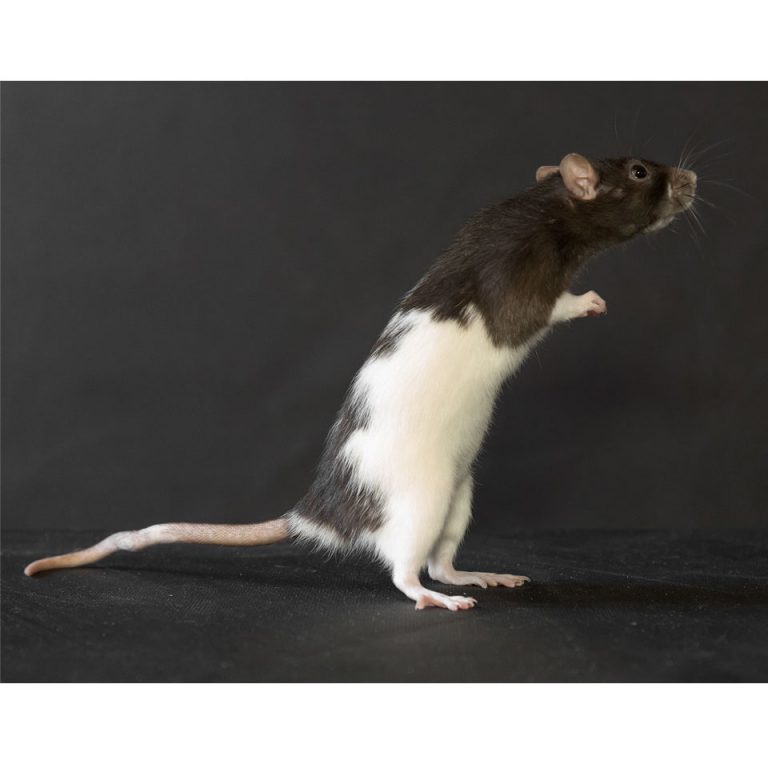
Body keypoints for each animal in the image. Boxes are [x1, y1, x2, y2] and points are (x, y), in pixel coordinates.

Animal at [24, 152, 697, 611]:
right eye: (640, 171)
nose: (691, 180)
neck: (546, 204)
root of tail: (322, 511)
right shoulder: (516, 284)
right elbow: (536, 313)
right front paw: (588, 302)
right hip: (421, 499)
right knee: (404, 572)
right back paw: (435, 598)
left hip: (458, 496)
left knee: (440, 560)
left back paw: (471, 575)